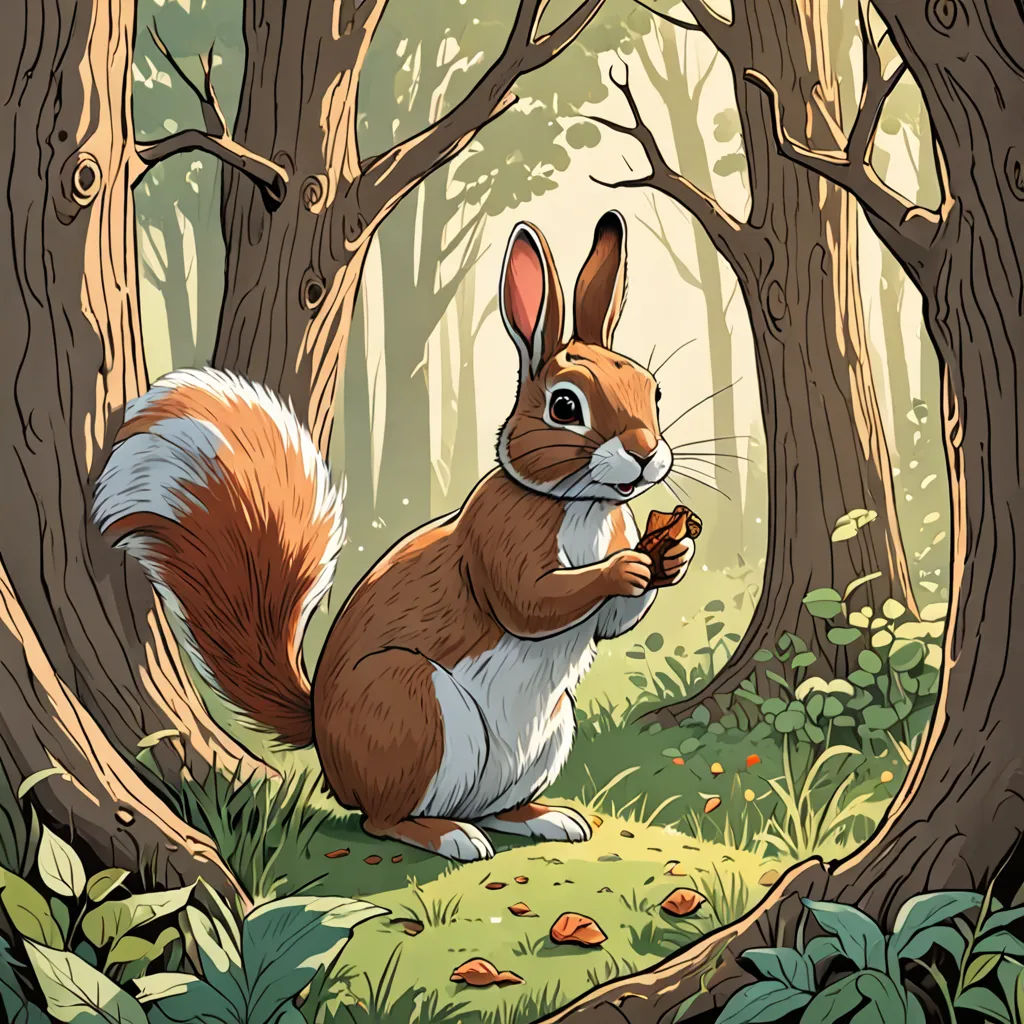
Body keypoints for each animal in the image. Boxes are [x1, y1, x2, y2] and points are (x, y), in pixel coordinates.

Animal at [93, 210, 696, 862]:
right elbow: (530, 603)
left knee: (492, 807)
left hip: (547, 735)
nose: (646, 453)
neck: (581, 505)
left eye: (654, 390)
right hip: (411, 708)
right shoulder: (496, 541)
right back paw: (449, 835)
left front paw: (673, 555)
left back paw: (543, 818)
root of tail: (326, 743)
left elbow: (612, 624)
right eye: (564, 406)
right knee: (382, 820)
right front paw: (625, 568)